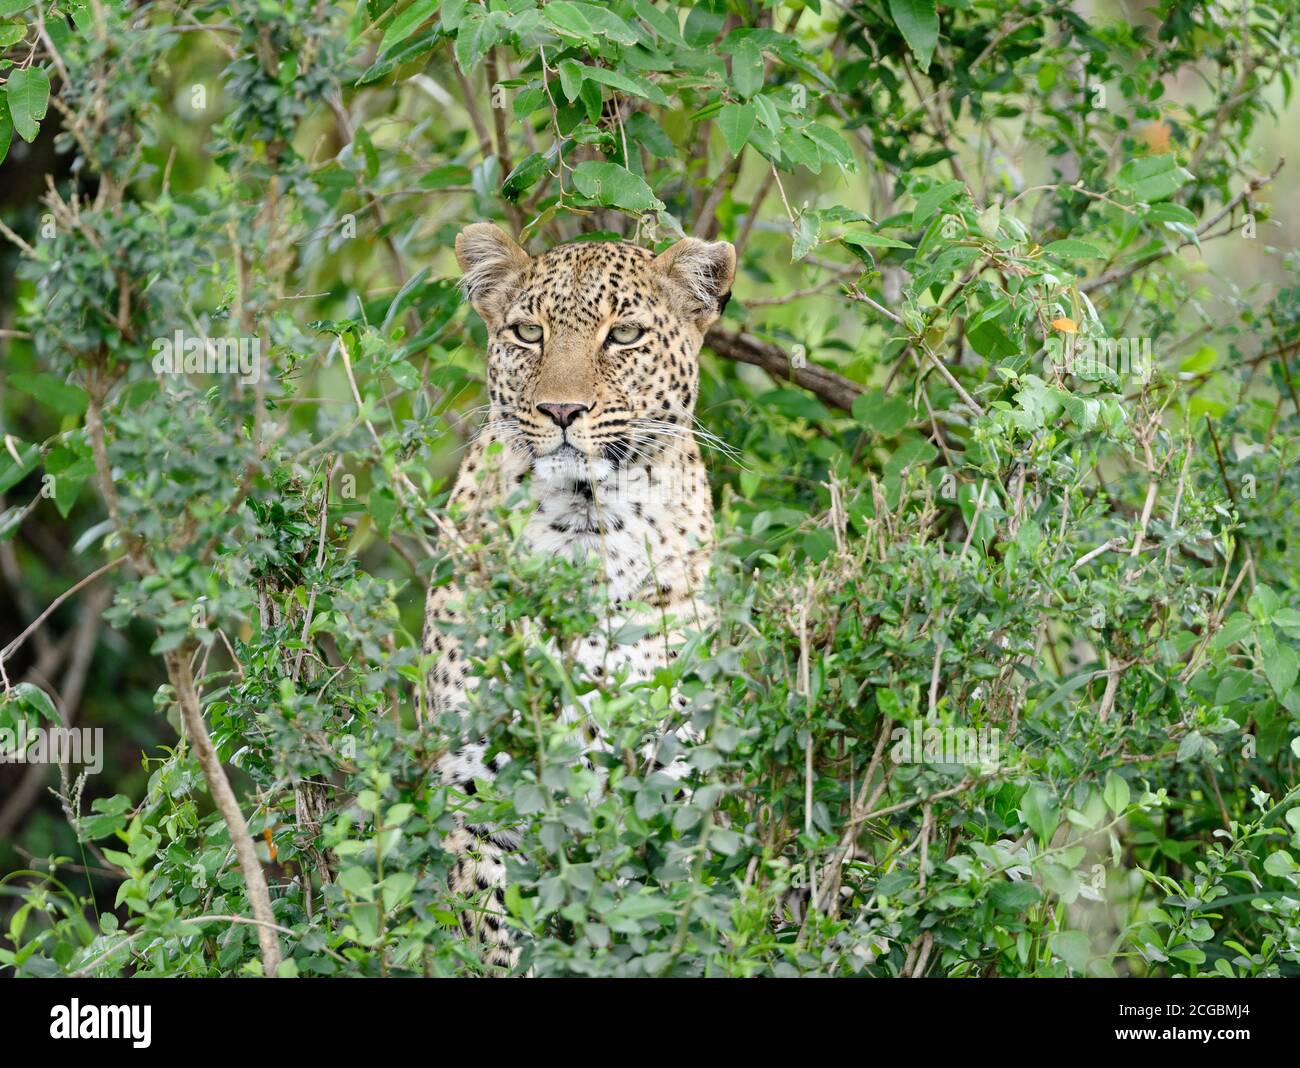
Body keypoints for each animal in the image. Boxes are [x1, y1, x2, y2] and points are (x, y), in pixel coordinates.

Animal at [421, 223, 736, 972]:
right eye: (528, 332)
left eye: (623, 335)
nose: (561, 410)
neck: (585, 526)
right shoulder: (475, 790)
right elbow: (495, 931)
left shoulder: (670, 781)